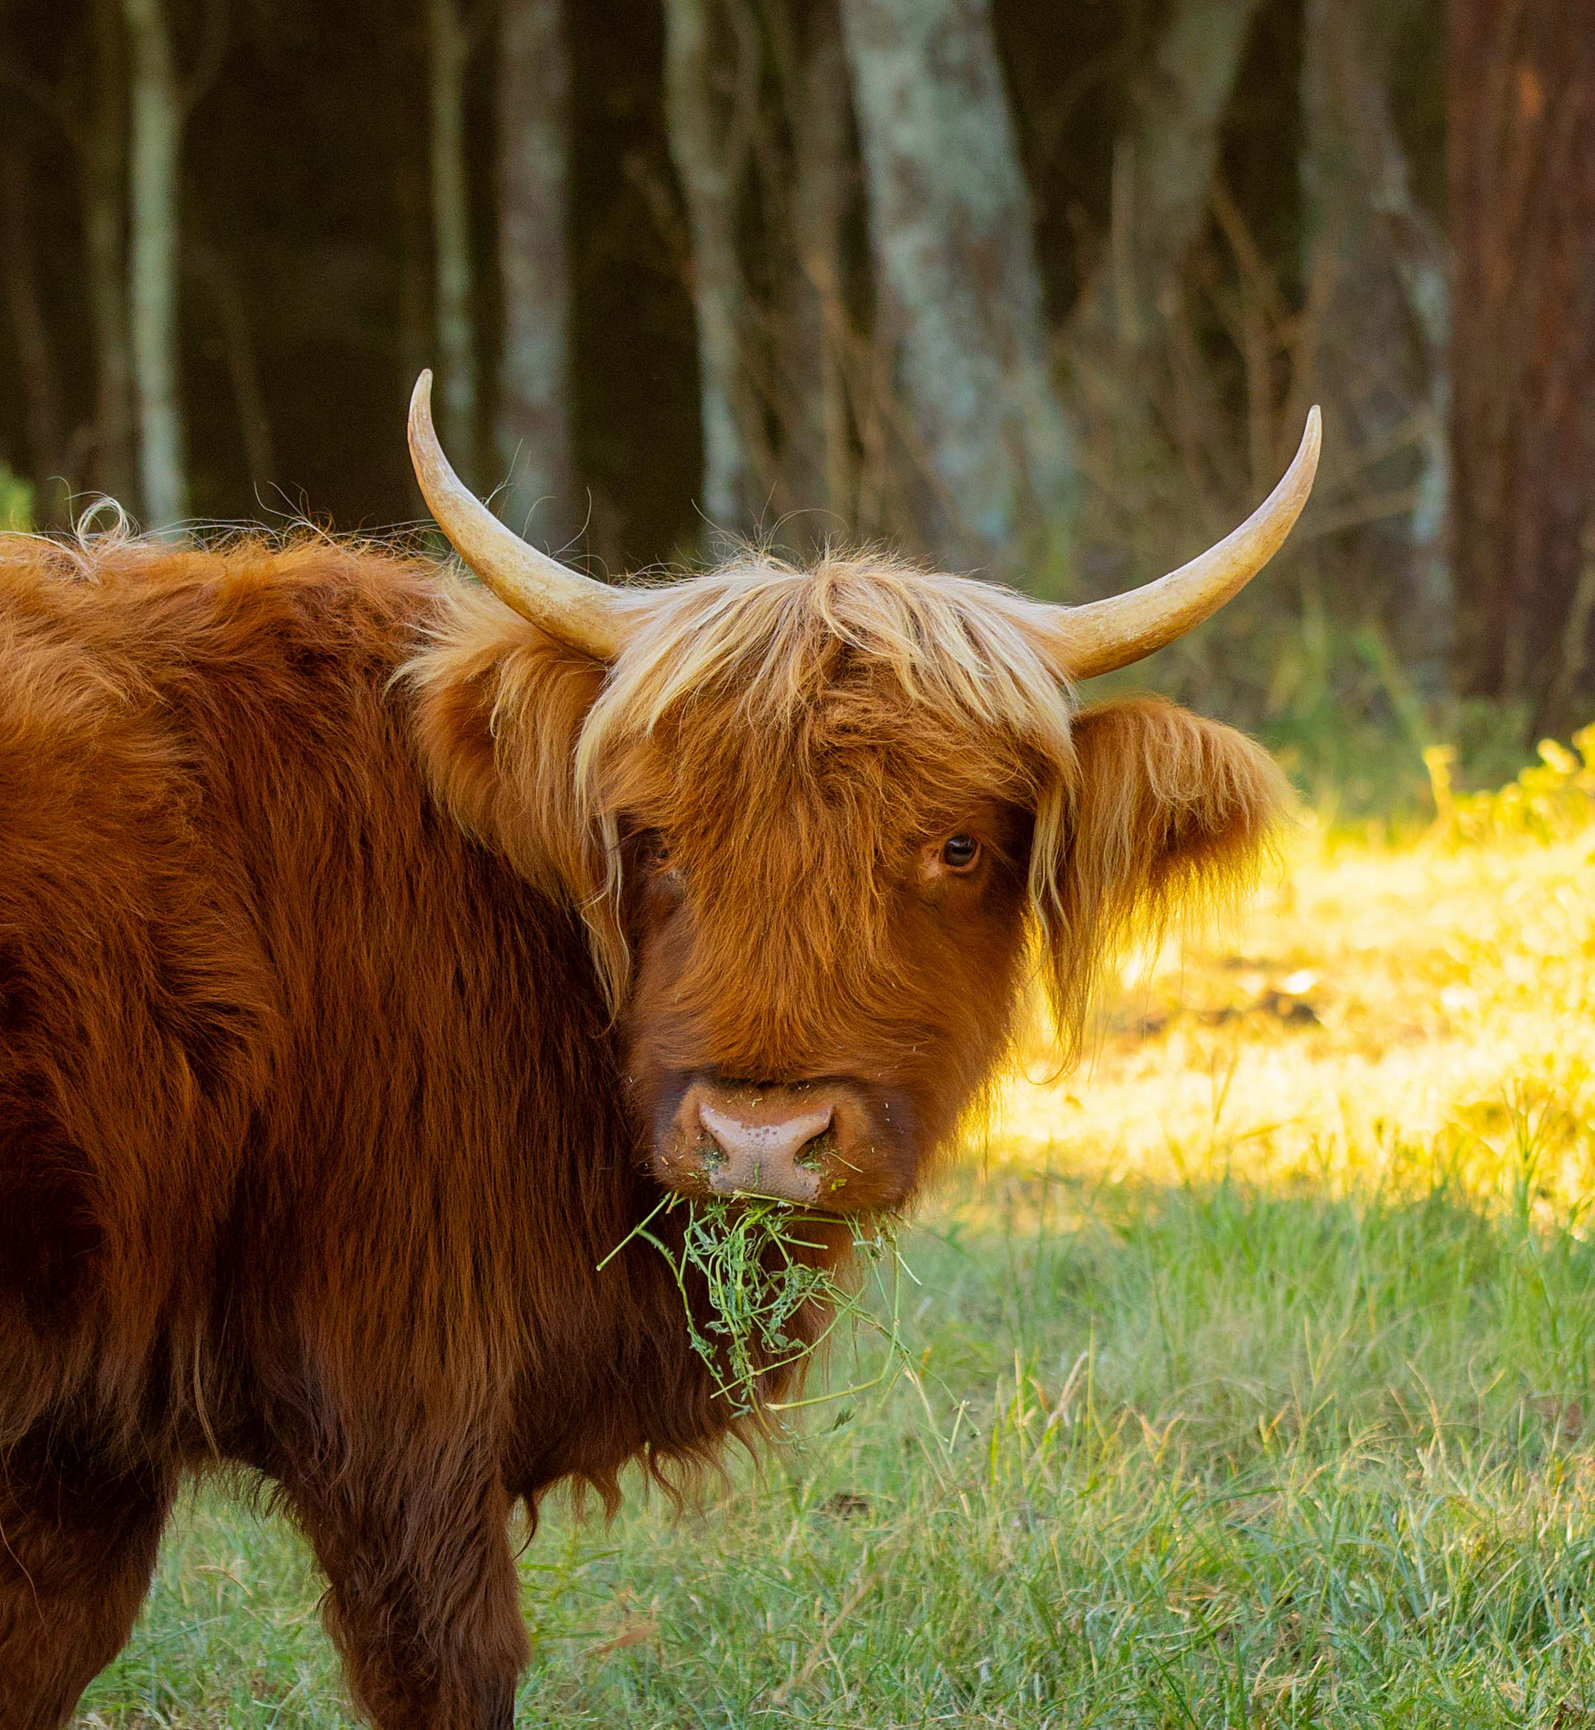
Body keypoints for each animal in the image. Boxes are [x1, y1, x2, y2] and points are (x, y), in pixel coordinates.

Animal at [0, 373, 1317, 1729]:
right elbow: (446, 1664)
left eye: (954, 845)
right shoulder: (397, 1401)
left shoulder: (83, 1448)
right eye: (656, 839)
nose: (762, 1140)